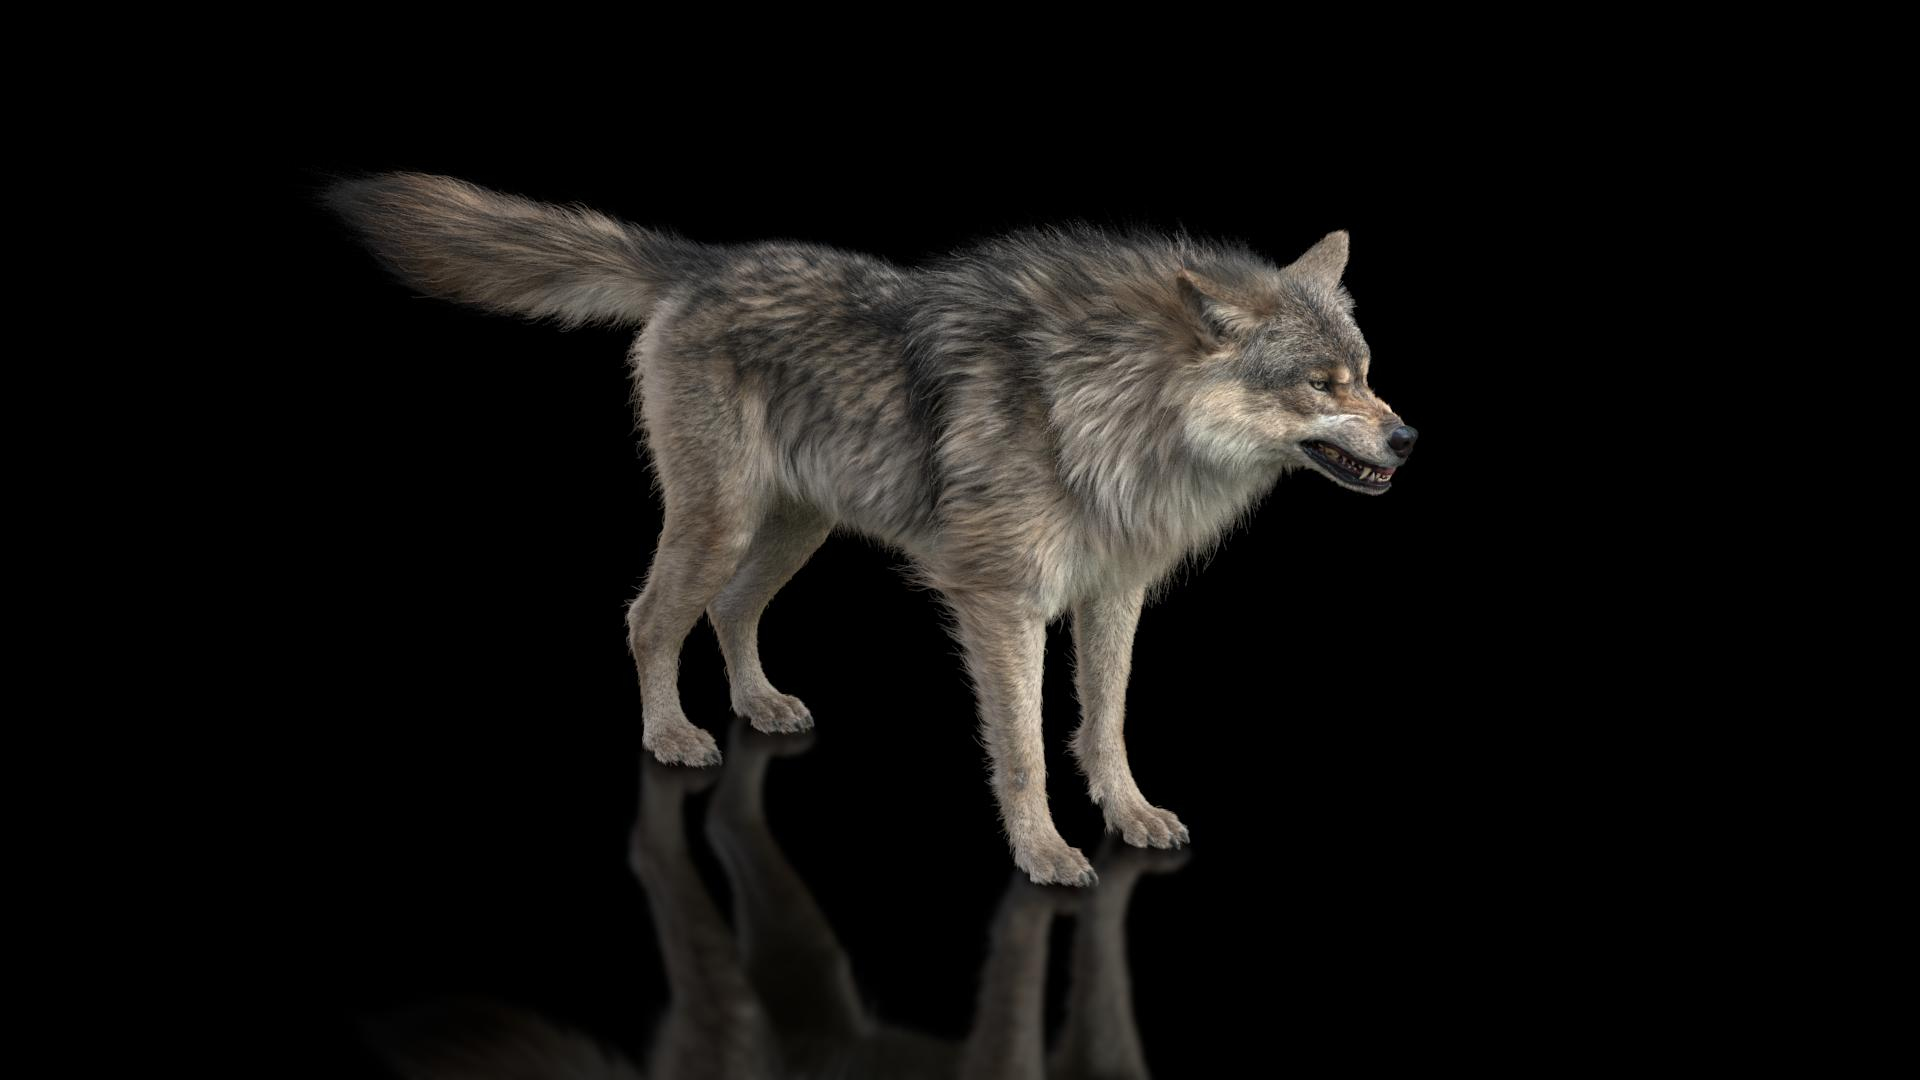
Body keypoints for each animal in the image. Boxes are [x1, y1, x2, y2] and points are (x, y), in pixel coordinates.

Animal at [324, 172, 1417, 887]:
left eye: (1365, 372)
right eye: (1322, 385)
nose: (1408, 438)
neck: (1107, 407)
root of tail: (702, 263)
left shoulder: (1113, 595)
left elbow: (1103, 723)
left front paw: (1130, 814)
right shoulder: (1001, 606)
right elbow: (1025, 748)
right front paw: (1044, 852)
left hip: (794, 532)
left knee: (728, 612)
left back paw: (759, 705)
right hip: (719, 525)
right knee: (647, 619)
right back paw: (673, 735)